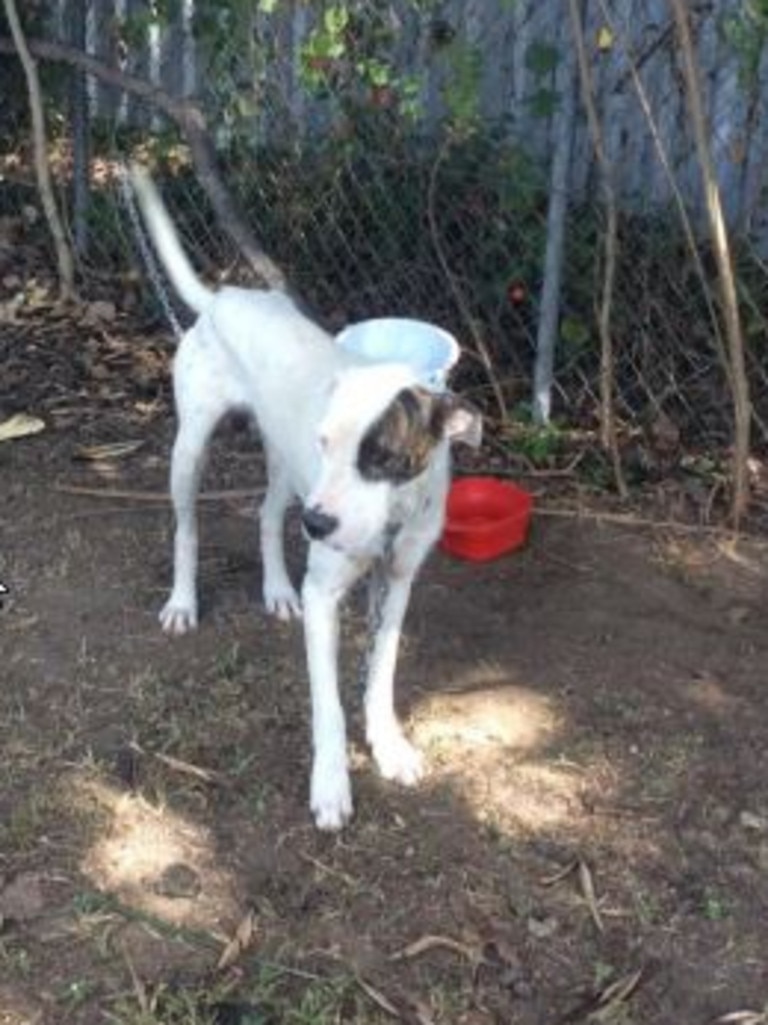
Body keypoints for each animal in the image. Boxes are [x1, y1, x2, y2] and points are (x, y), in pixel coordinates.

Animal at [130, 166, 479, 824]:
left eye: (382, 458)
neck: (392, 519)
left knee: (268, 517)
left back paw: (275, 589)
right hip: (193, 450)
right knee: (187, 526)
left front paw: (388, 745)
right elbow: (329, 706)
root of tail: (226, 298)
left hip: (284, 467)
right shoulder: (325, 596)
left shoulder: (396, 584)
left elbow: (380, 675)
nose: (316, 525)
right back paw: (183, 602)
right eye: (328, 443)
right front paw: (331, 785)